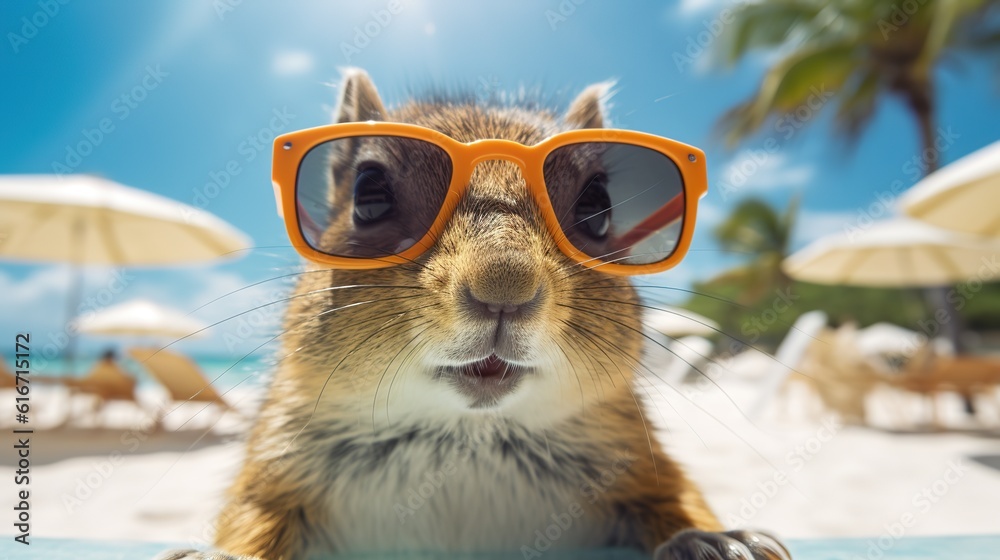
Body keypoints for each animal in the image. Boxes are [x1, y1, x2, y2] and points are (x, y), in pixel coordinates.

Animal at [162, 69, 790, 560]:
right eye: (369, 192)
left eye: (597, 207)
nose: (504, 287)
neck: (464, 435)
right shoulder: (274, 467)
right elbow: (251, 517)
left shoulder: (642, 460)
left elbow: (680, 500)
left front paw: (714, 540)